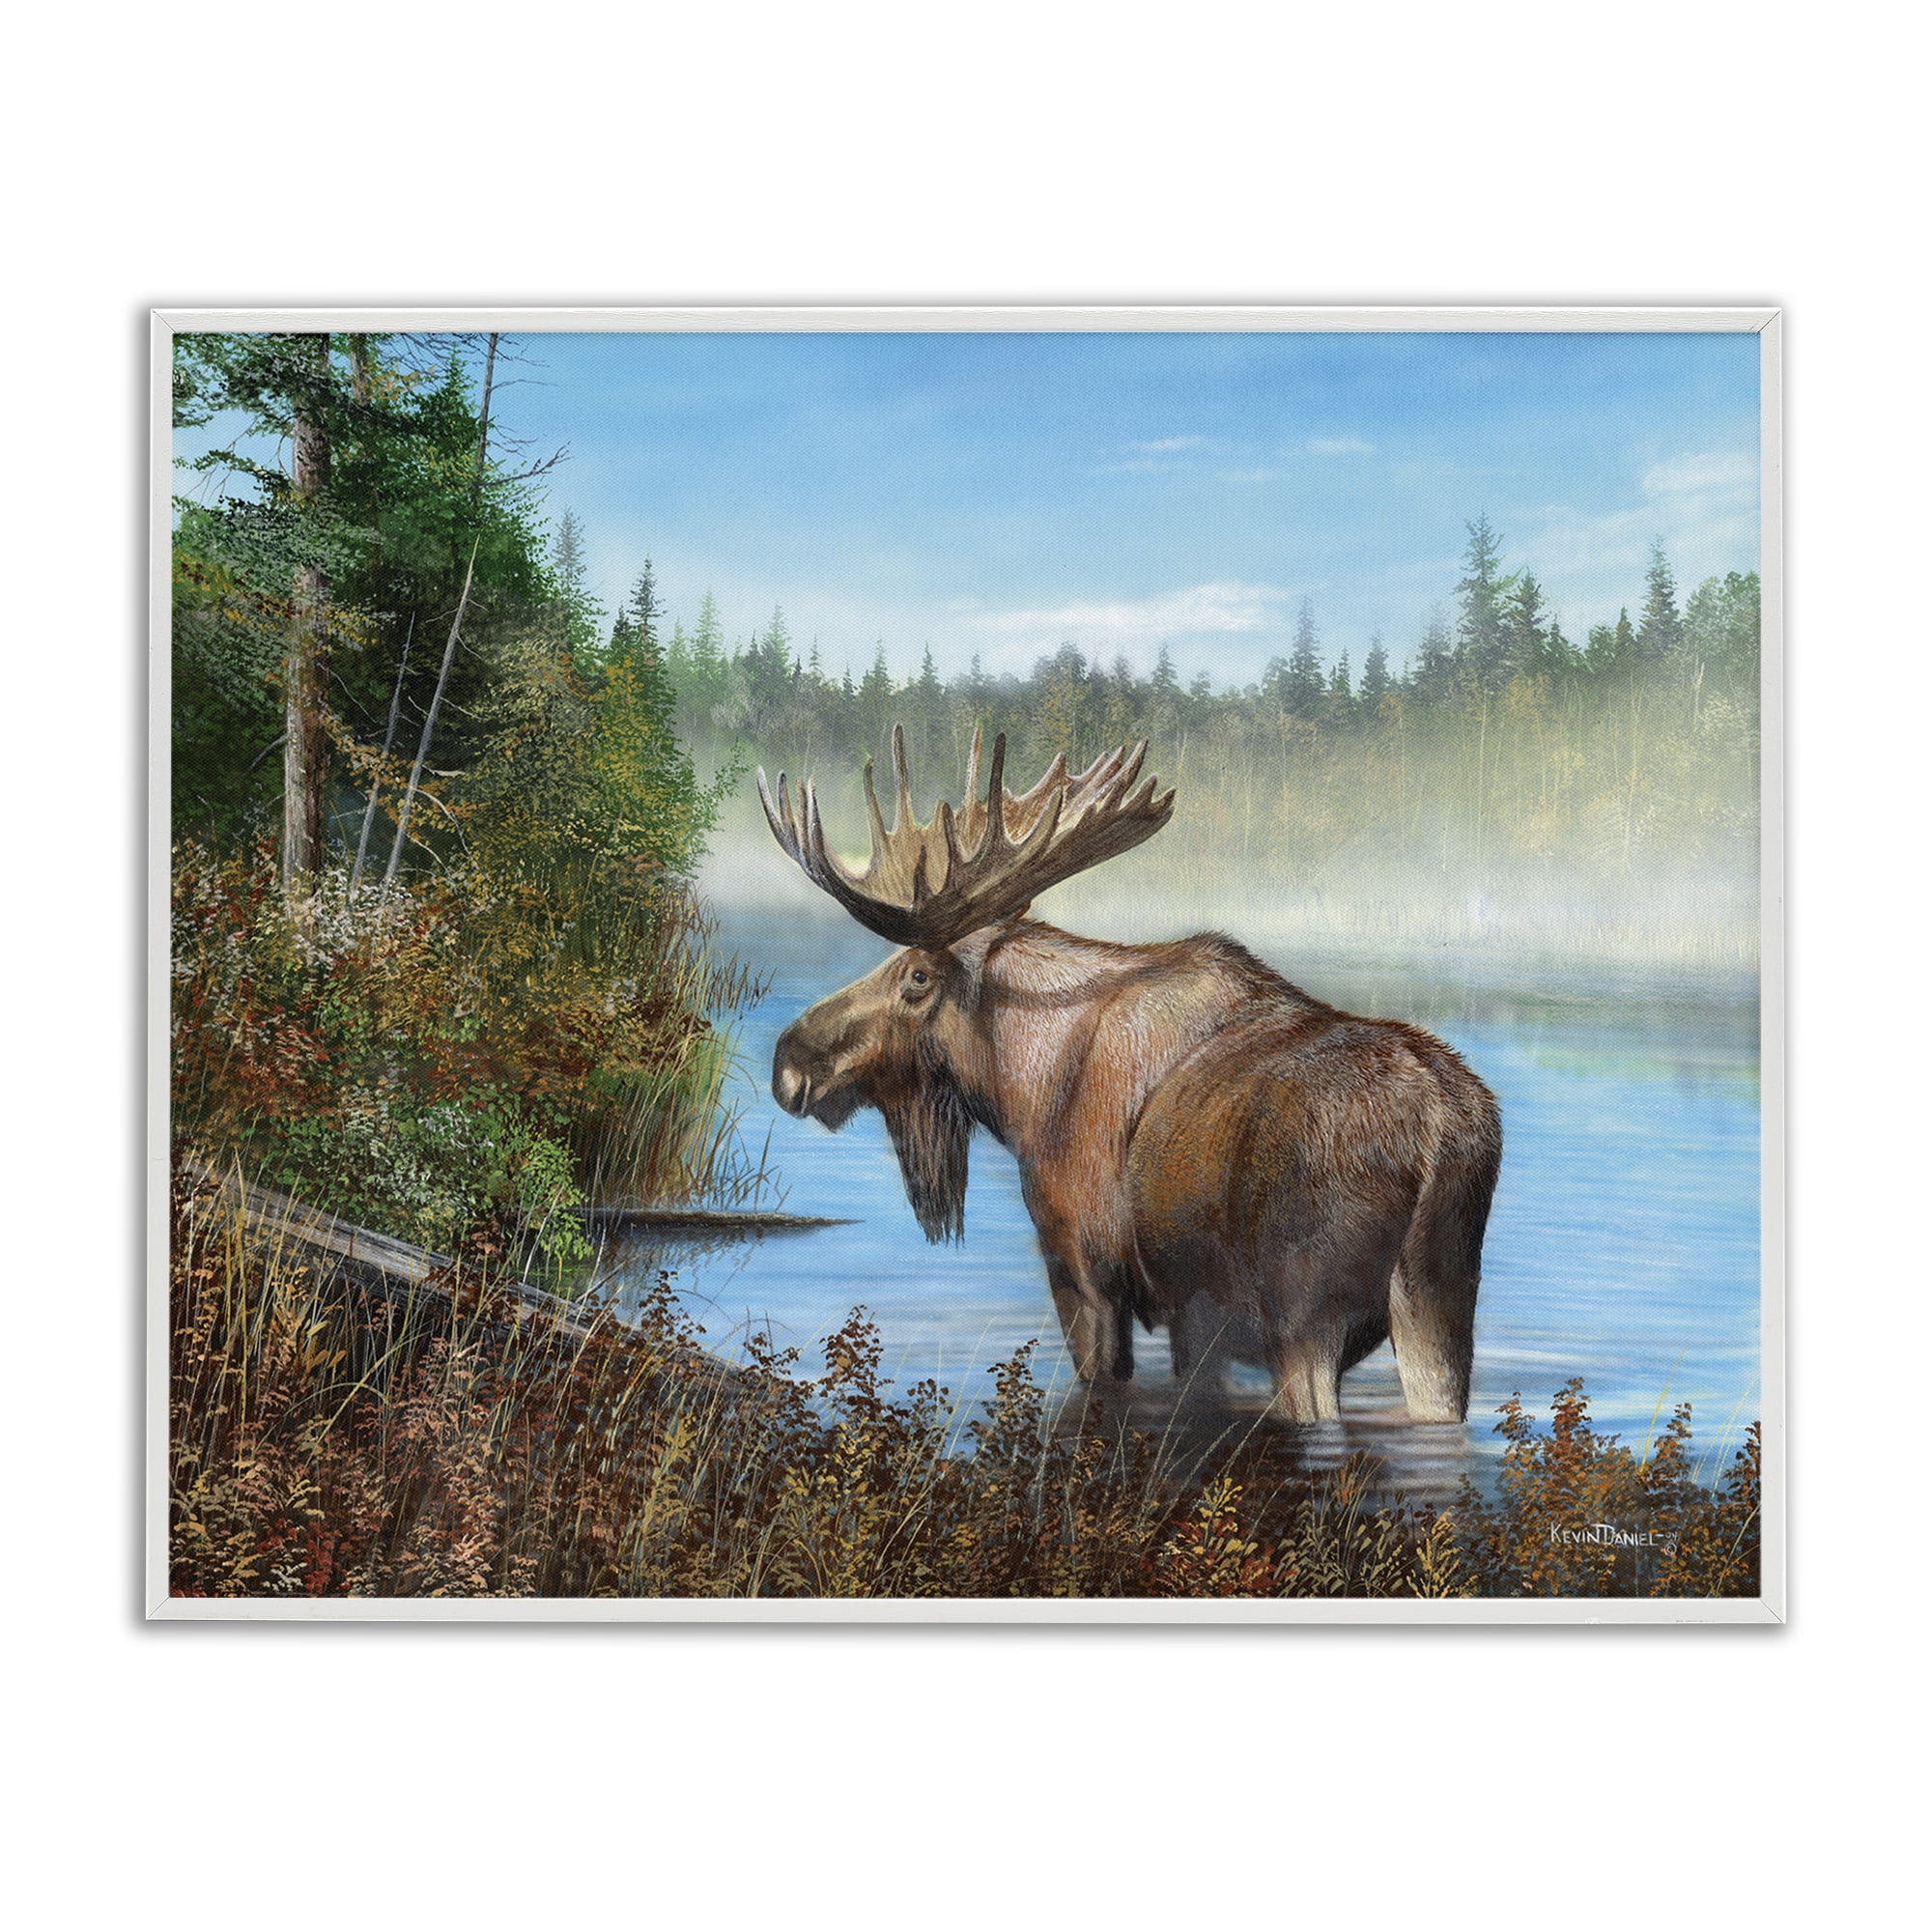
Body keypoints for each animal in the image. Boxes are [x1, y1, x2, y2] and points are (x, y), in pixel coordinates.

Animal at [758, 726, 1501, 1424]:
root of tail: (1444, 1136)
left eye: (915, 977)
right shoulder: (1191, 1312)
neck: (1021, 1091)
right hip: (1438, 1300)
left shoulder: (1085, 1270)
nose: (788, 1061)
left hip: (1305, 1314)